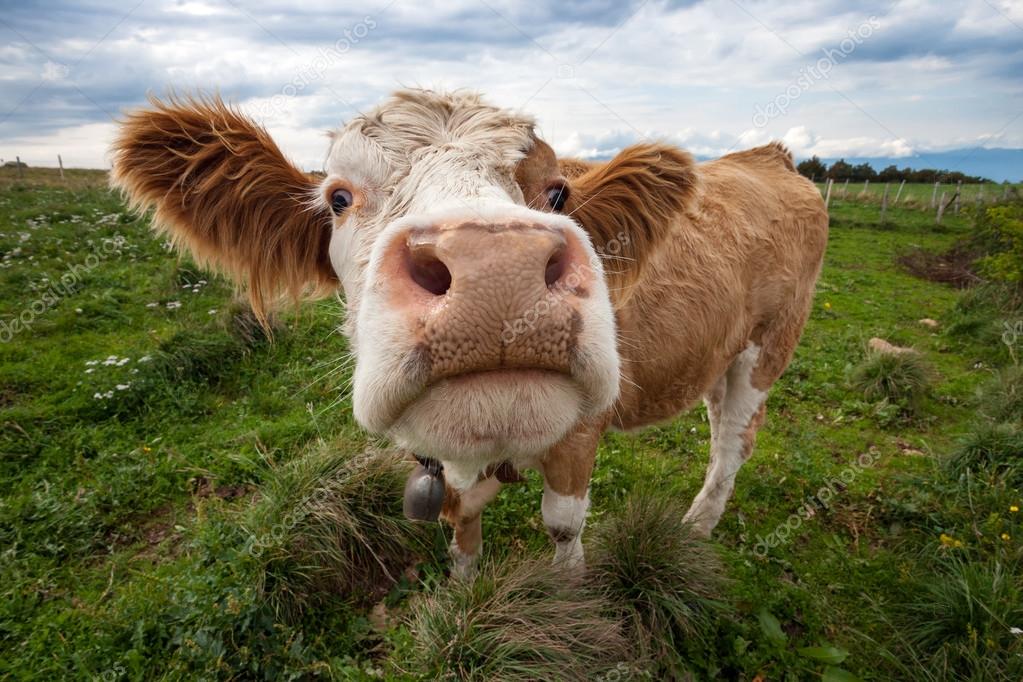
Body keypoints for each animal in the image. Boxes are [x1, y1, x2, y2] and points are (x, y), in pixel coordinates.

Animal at [111, 89, 828, 578]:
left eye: (558, 193)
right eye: (338, 198)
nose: (495, 269)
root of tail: (769, 156)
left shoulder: (581, 432)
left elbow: (562, 528)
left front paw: (572, 598)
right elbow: (462, 518)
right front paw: (462, 584)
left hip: (770, 343)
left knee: (733, 441)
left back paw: (696, 527)